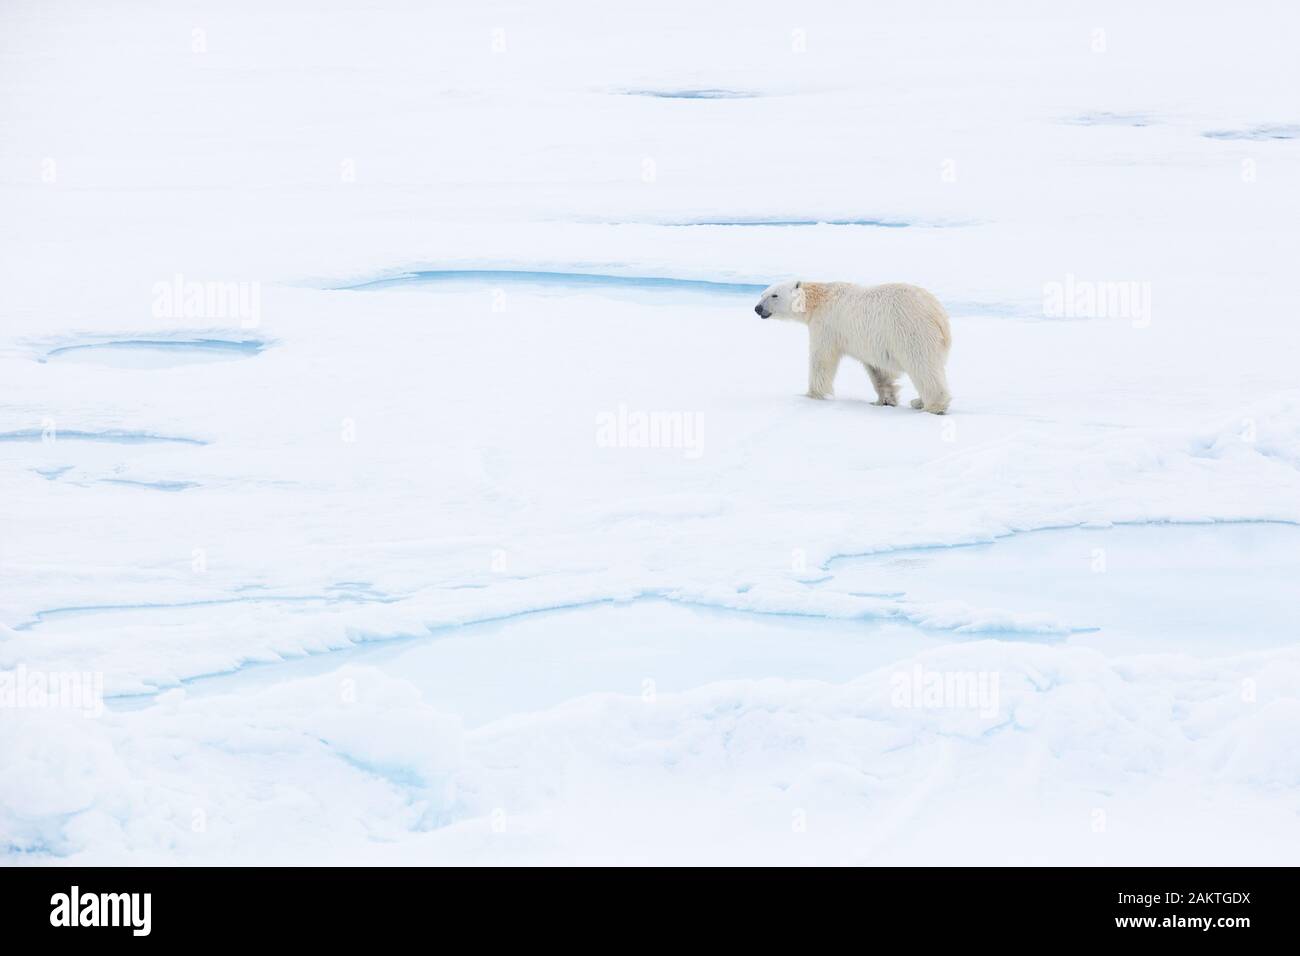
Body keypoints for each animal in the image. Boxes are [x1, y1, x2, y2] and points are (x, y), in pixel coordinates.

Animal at [754, 280, 952, 414]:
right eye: (762, 293)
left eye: (774, 295)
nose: (757, 308)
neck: (819, 299)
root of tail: (938, 313)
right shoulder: (871, 342)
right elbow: (877, 370)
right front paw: (884, 400)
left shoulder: (826, 325)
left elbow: (822, 359)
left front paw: (811, 395)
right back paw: (919, 401)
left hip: (910, 330)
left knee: (922, 365)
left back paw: (932, 405)